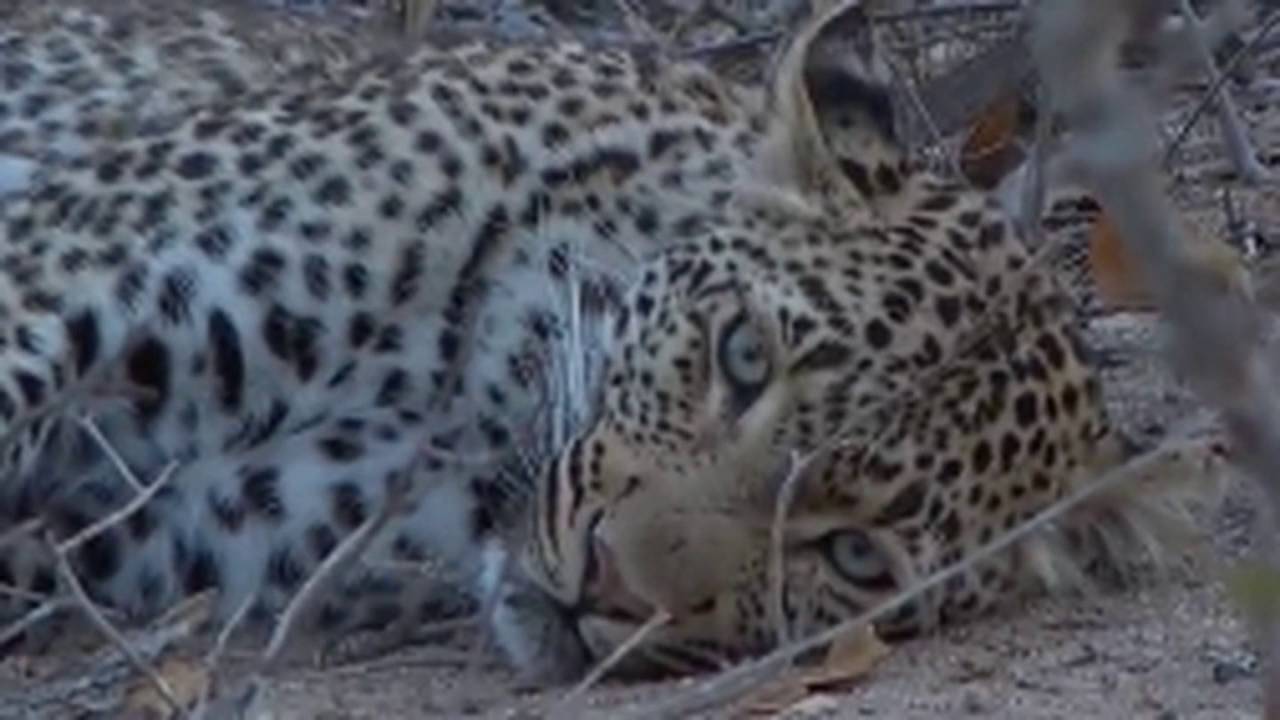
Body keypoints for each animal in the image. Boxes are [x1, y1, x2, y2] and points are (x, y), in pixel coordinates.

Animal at [0, 0, 1223, 684]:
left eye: (853, 558)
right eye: (742, 357)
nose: (605, 589)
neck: (468, 406)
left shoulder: (150, 532)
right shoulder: (69, 257)